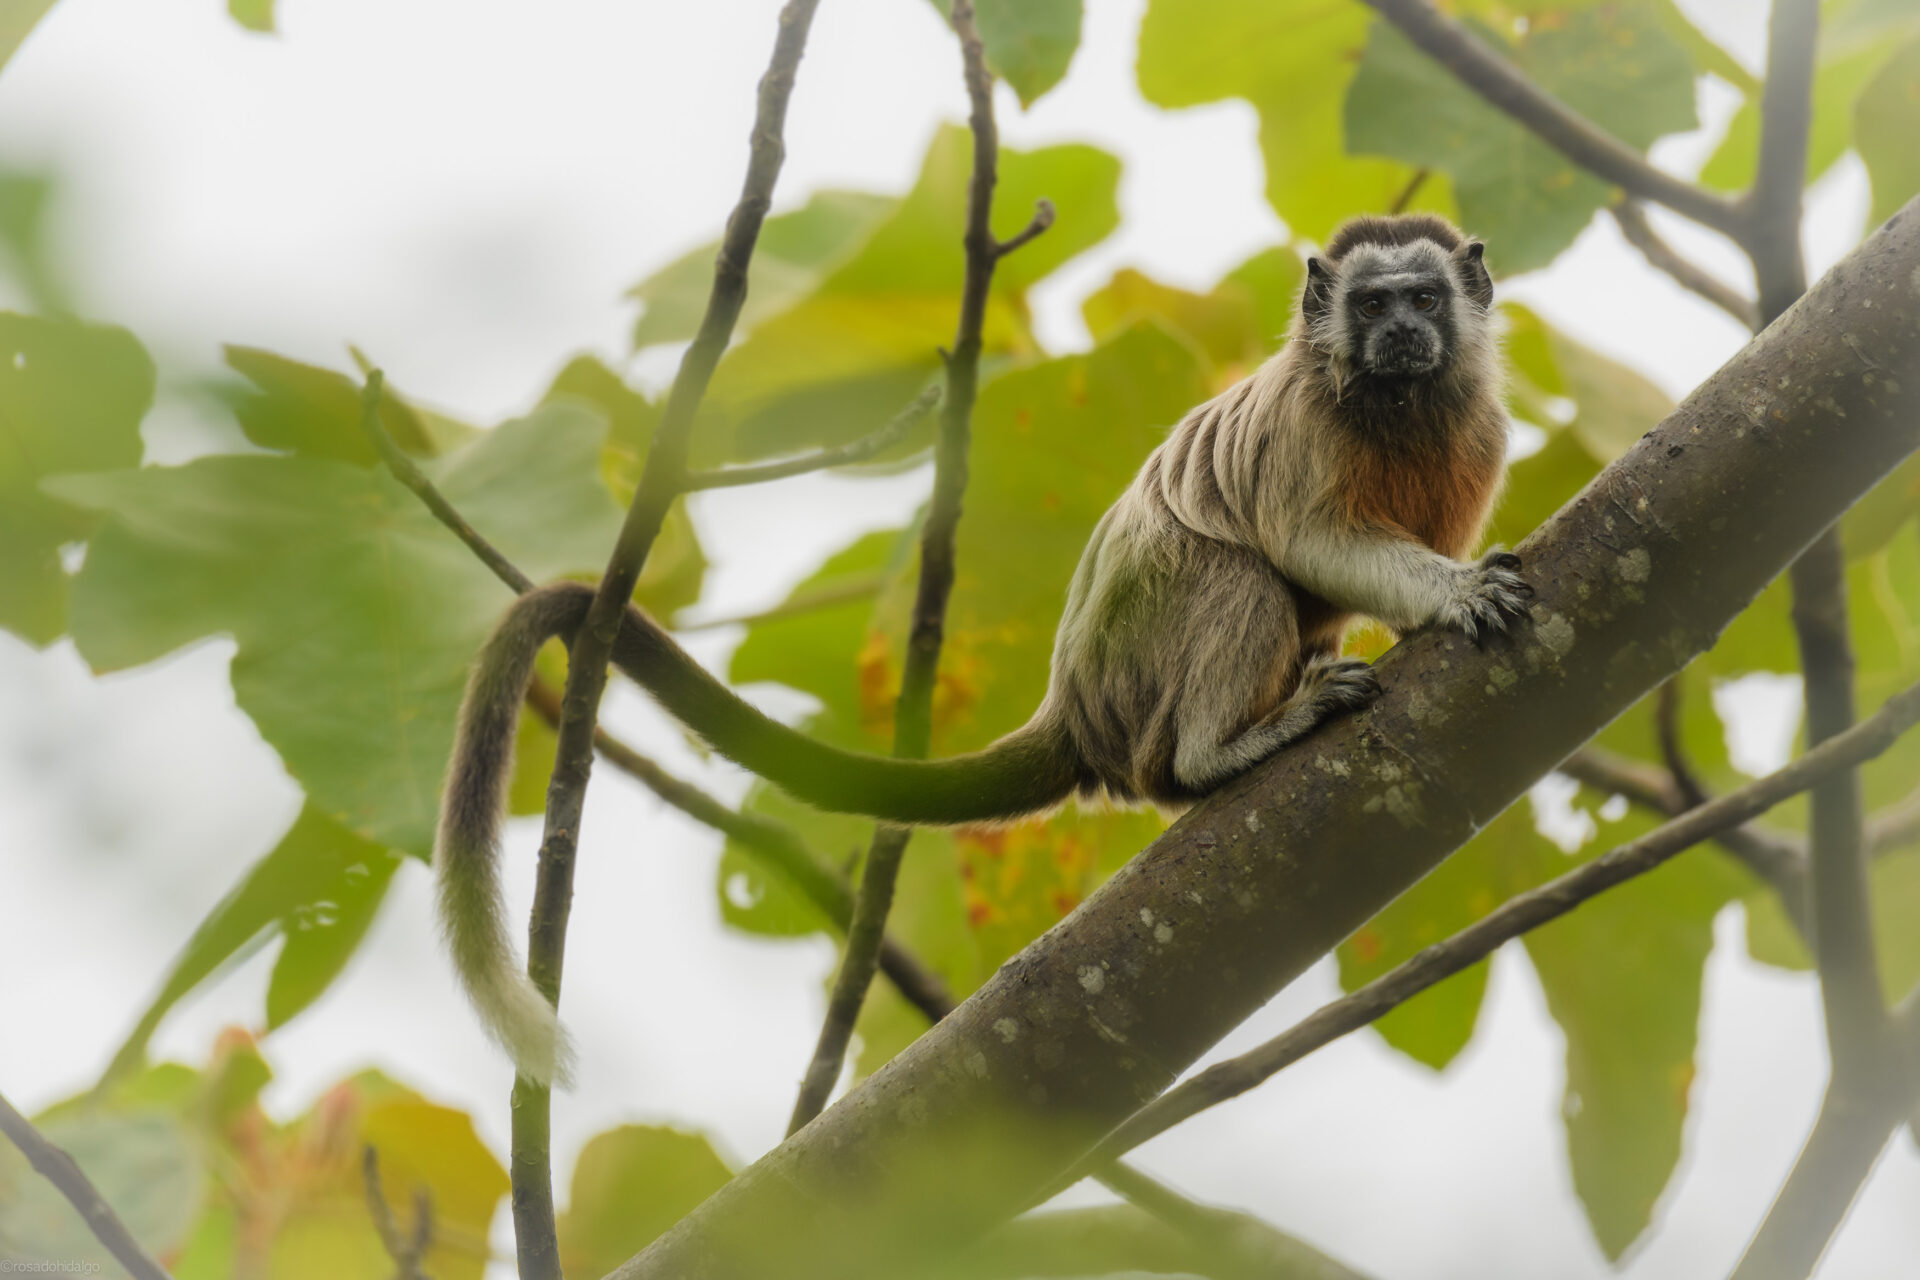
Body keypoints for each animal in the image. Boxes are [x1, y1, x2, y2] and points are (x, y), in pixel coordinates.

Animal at [434, 212, 1531, 1084]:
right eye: (1373, 302)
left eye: (1425, 298)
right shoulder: (1307, 424)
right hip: (1138, 660)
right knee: (1234, 574)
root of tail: (1074, 704)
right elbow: (1305, 543)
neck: (1400, 407)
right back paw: (1221, 750)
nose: (1400, 332)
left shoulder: (1482, 431)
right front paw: (1456, 594)